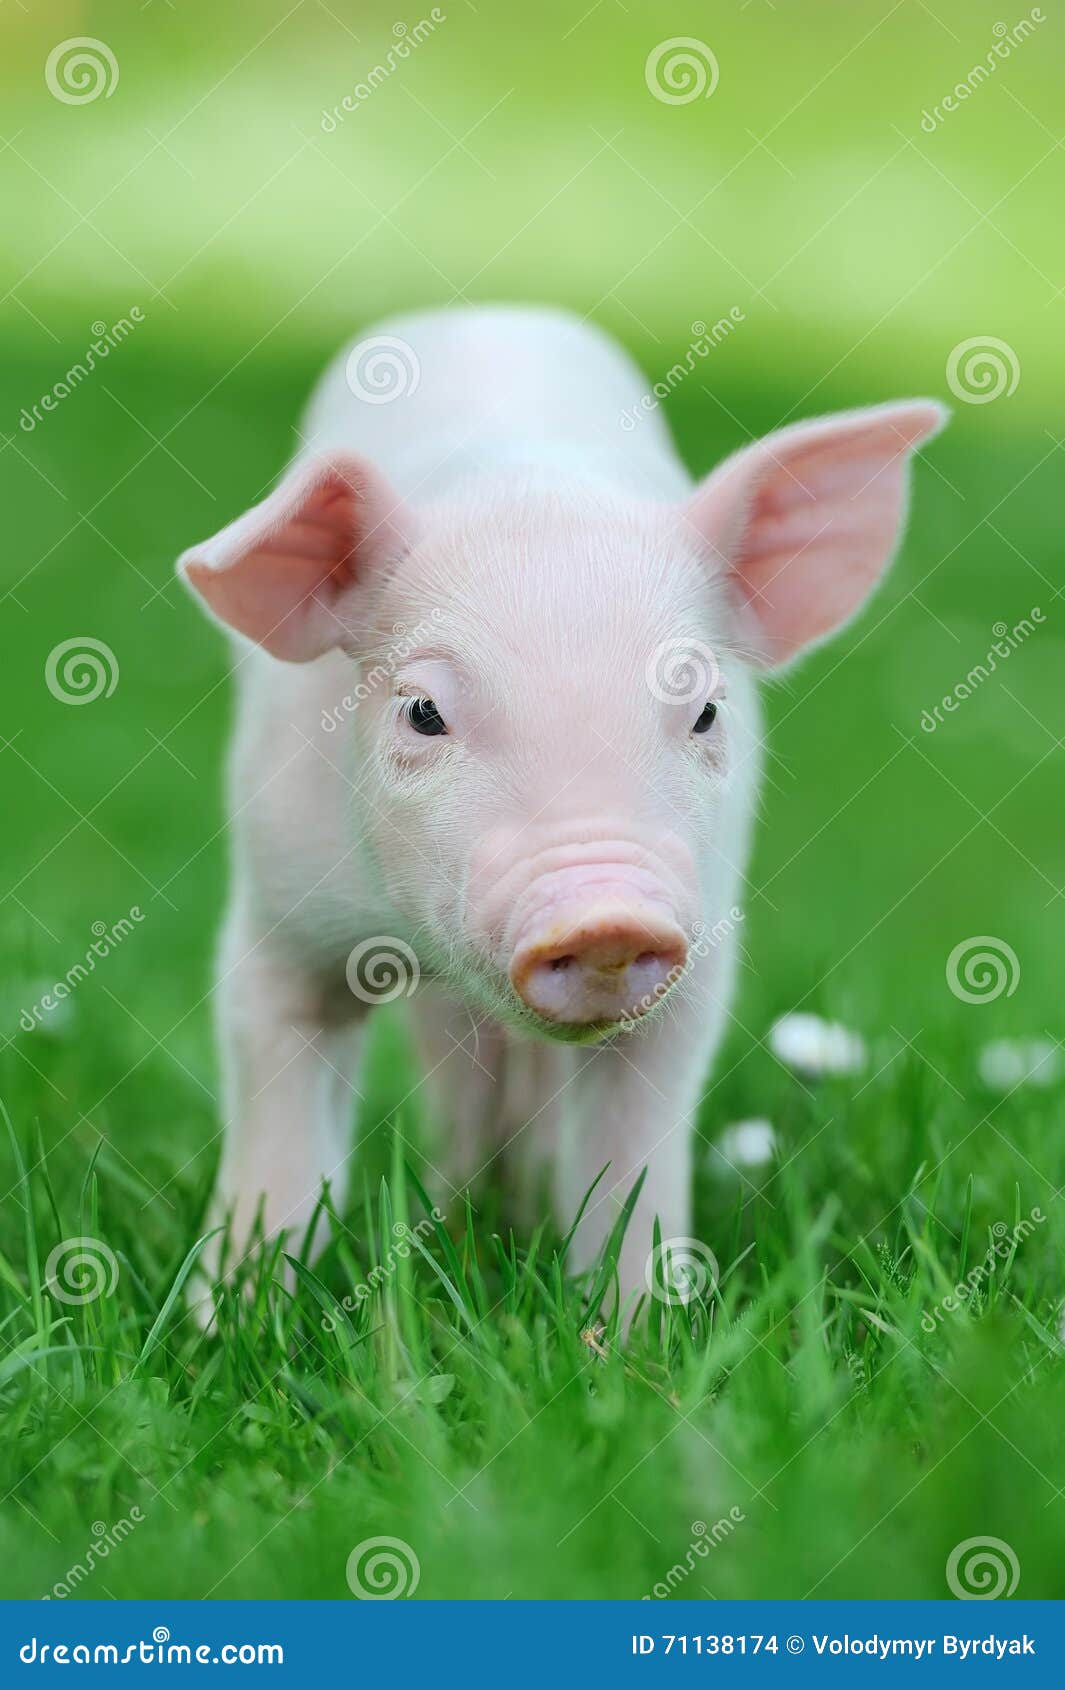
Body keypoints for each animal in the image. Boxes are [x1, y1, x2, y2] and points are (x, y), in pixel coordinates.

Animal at [177, 304, 944, 1312]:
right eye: (421, 712)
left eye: (704, 710)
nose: (605, 914)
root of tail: (487, 311)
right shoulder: (277, 915)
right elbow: (277, 1111)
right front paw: (229, 1316)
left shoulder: (699, 950)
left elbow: (634, 1144)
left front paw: (634, 1327)